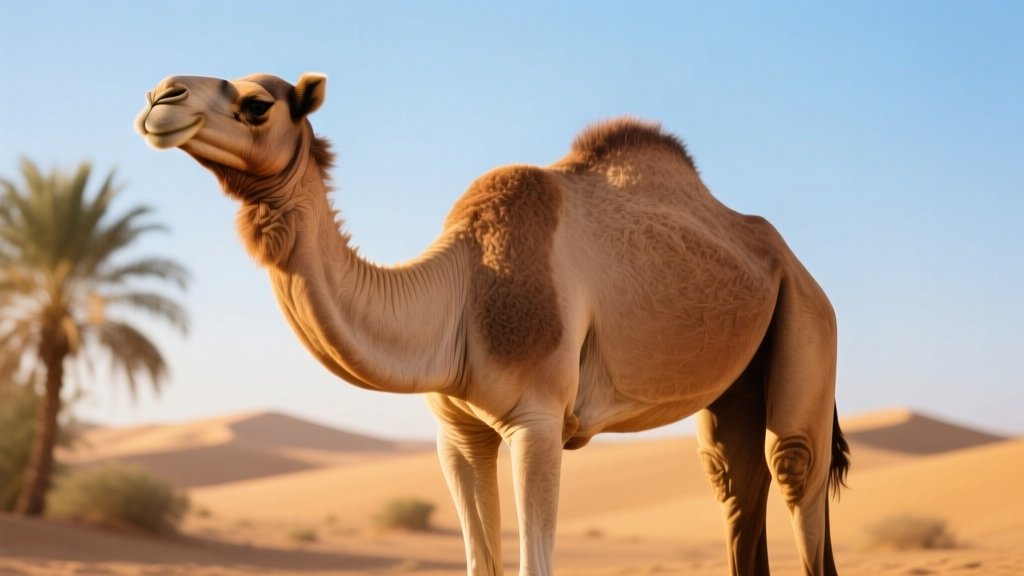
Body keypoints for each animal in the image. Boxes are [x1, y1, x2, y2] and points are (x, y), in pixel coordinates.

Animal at [135, 72, 850, 576]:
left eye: (258, 102)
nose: (159, 96)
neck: (458, 295)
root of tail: (792, 261)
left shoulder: (538, 420)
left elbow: (536, 562)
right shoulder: (458, 434)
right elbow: (482, 561)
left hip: (808, 315)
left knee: (793, 467)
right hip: (737, 375)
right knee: (734, 482)